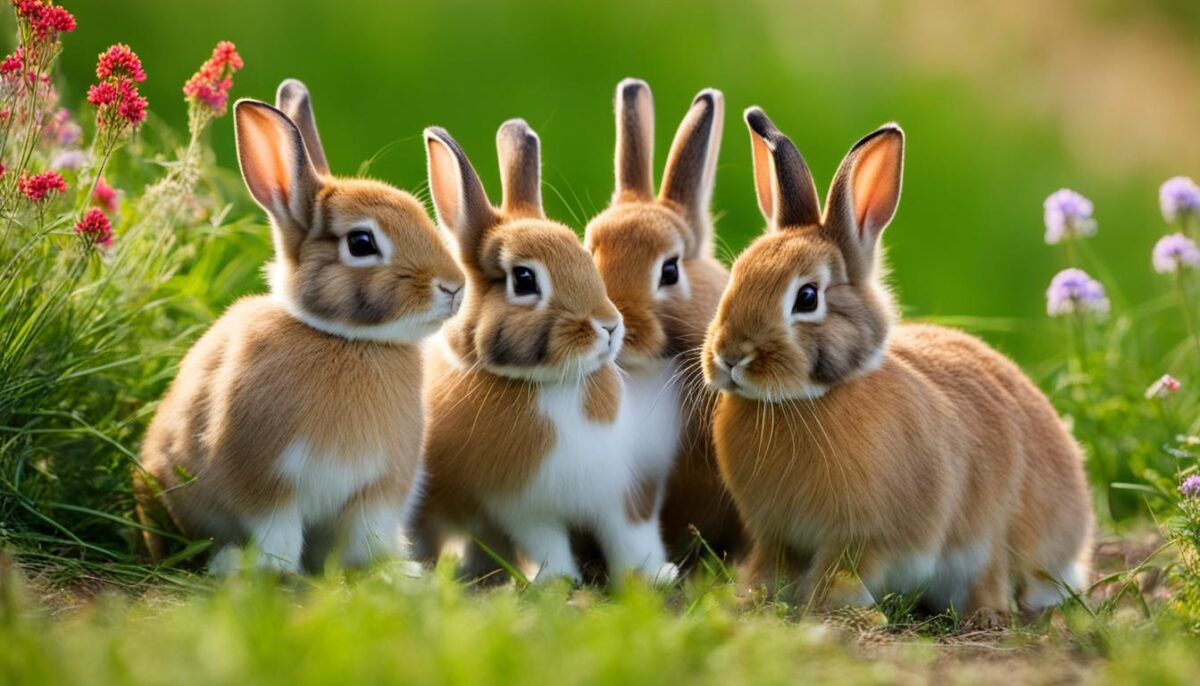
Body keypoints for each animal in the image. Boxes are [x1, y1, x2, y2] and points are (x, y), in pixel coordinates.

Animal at [134, 79, 465, 574]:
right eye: (361, 242)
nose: (454, 287)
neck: (345, 339)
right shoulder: (266, 481)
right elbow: (278, 534)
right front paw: (268, 573)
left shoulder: (377, 491)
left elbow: (365, 541)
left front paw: (392, 574)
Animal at [412, 118, 678, 585]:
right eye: (524, 279)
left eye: (584, 256)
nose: (609, 325)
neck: (555, 387)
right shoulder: (523, 508)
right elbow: (548, 543)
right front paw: (559, 583)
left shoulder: (625, 494)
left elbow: (630, 536)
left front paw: (653, 576)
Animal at [700, 107, 1093, 626]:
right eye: (738, 275)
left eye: (807, 297)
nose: (730, 356)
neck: (809, 399)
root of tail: (1076, 530)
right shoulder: (776, 534)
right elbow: (771, 569)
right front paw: (753, 600)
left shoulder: (865, 539)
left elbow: (838, 576)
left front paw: (826, 612)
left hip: (987, 536)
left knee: (993, 579)